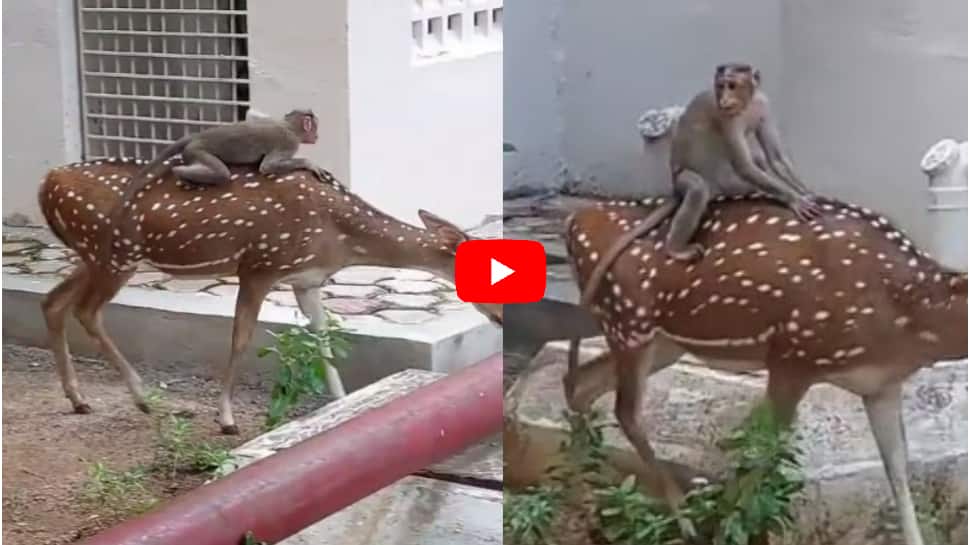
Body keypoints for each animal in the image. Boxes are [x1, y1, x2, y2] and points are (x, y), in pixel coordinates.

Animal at [36, 156, 502, 435]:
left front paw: (345, 404)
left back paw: (79, 399)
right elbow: (241, 338)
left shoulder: (306, 280)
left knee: (53, 301)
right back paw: (142, 397)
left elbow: (324, 339)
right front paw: (226, 419)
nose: (502, 317)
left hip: (93, 255)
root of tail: (47, 182)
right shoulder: (260, 265)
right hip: (115, 255)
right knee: (86, 311)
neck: (340, 237)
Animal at [560, 193, 967, 545]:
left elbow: (898, 472)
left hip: (663, 344)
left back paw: (590, 501)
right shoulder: (793, 355)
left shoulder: (882, 383)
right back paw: (680, 520)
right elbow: (761, 454)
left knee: (580, 384)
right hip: (629, 321)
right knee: (623, 409)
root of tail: (574, 221)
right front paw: (729, 530)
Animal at [577, 63, 821, 308]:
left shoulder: (763, 106)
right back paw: (676, 250)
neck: (747, 104)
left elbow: (776, 157)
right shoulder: (726, 119)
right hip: (691, 179)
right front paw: (794, 199)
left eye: (732, 85)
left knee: (755, 160)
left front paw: (805, 192)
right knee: (697, 190)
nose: (725, 98)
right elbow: (744, 166)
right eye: (721, 86)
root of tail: (675, 186)